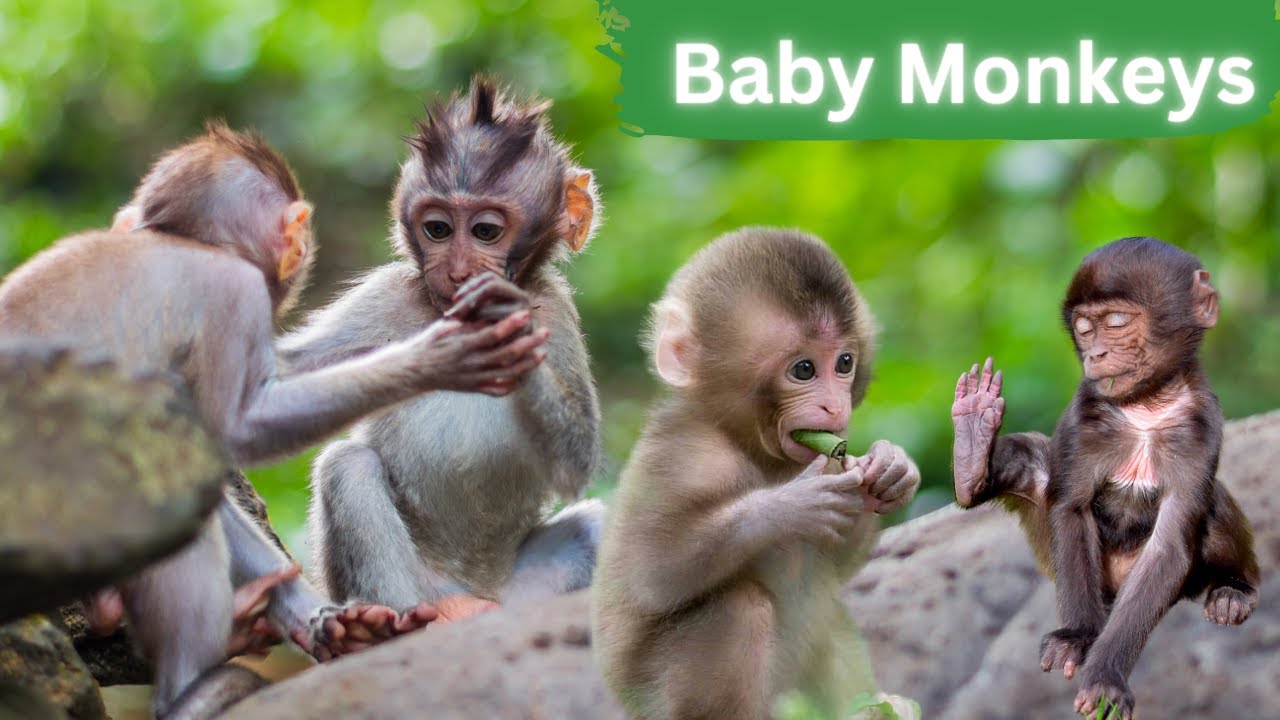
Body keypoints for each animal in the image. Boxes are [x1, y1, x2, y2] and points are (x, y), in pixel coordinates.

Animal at [0, 122, 547, 718]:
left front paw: (324, 623)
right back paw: (189, 692)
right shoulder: (234, 298)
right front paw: (434, 358)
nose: (303, 250)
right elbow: (234, 433)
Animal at [277, 78, 604, 620]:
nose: (456, 271)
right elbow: (274, 385)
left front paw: (504, 324)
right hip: (411, 585)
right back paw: (380, 625)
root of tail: (472, 591)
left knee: (592, 527)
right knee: (348, 466)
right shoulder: (387, 295)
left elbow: (576, 461)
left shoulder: (555, 310)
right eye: (438, 229)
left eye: (486, 231)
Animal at [591, 228, 921, 720]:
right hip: (655, 703)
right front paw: (792, 505)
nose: (835, 406)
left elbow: (838, 561)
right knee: (738, 609)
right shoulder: (686, 455)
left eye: (844, 363)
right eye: (803, 369)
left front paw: (891, 467)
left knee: (825, 611)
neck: (751, 444)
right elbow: (653, 569)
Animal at [950, 237, 1260, 720]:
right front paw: (1077, 638)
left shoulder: (1203, 427)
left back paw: (1233, 590)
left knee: (1213, 505)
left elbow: (1170, 544)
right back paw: (972, 457)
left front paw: (1105, 678)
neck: (1146, 409)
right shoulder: (1085, 414)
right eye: (1083, 328)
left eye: (1115, 322)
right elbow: (1069, 508)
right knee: (1039, 469)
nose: (1096, 355)